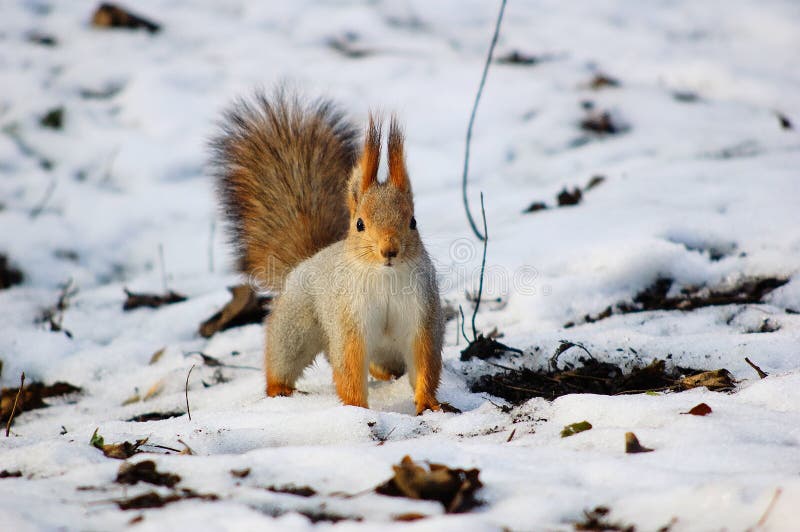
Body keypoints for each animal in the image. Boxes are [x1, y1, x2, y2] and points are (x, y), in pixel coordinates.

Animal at [211, 88, 443, 414]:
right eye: (359, 224)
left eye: (413, 222)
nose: (390, 250)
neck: (384, 277)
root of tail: (307, 260)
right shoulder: (349, 320)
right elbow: (350, 363)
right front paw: (356, 410)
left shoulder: (420, 316)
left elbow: (424, 361)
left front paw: (431, 405)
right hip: (294, 328)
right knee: (284, 361)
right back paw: (280, 389)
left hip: (385, 348)